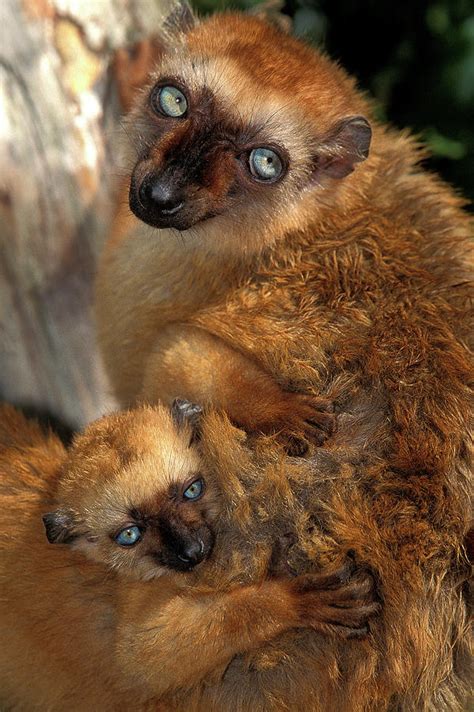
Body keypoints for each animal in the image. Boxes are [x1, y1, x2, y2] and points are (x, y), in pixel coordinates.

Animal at [0, 401, 379, 711]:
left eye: (192, 490)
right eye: (129, 535)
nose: (192, 552)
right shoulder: (134, 591)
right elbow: (141, 658)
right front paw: (289, 600)